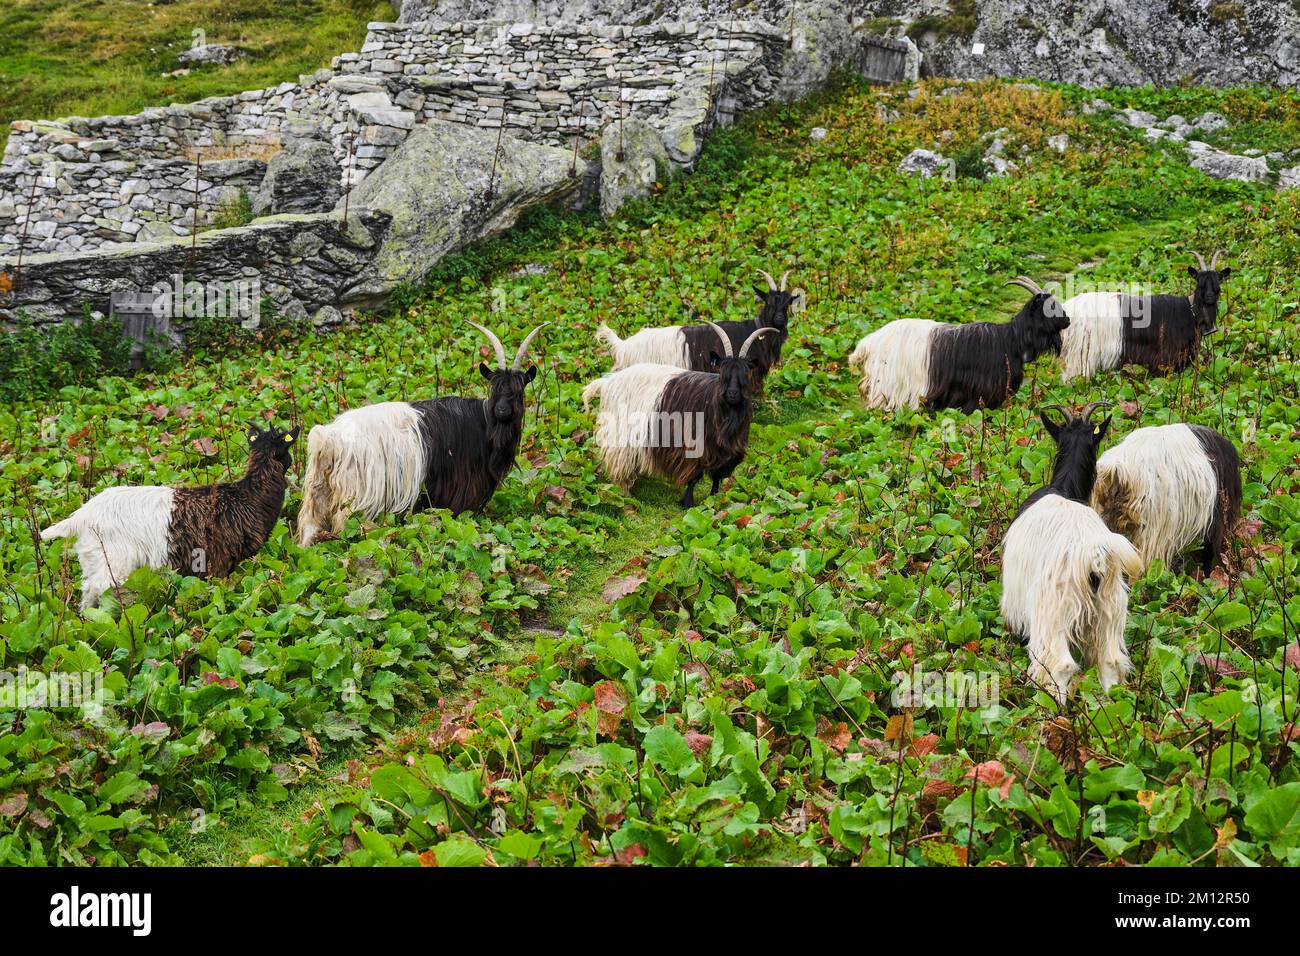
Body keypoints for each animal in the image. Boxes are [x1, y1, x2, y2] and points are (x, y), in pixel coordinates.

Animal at [41, 423, 298, 610]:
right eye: (287, 450)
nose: (290, 462)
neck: (248, 498)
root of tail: (81, 515)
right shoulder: (218, 563)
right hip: (112, 562)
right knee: (100, 592)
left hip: (93, 561)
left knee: (87, 594)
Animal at [295, 322, 546, 546]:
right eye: (494, 389)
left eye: (519, 391)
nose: (502, 410)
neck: (484, 423)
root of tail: (328, 438)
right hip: (356, 500)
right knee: (345, 529)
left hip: (318, 493)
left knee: (310, 527)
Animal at [582, 322, 776, 507]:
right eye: (722, 371)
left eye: (745, 372)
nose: (733, 393)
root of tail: (607, 382)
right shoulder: (693, 447)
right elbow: (693, 477)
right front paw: (688, 504)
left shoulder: (725, 452)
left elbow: (716, 477)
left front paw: (714, 500)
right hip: (620, 433)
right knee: (619, 462)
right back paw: (625, 493)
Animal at [1001, 403, 1143, 703]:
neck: (1063, 488)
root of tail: (1092, 557)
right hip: (1110, 610)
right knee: (1110, 662)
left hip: (1054, 611)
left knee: (1059, 665)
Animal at [1057, 250, 1231, 381]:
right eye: (1199, 282)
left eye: (1218, 281)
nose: (1209, 297)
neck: (1190, 311)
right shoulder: (1165, 359)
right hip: (1080, 354)